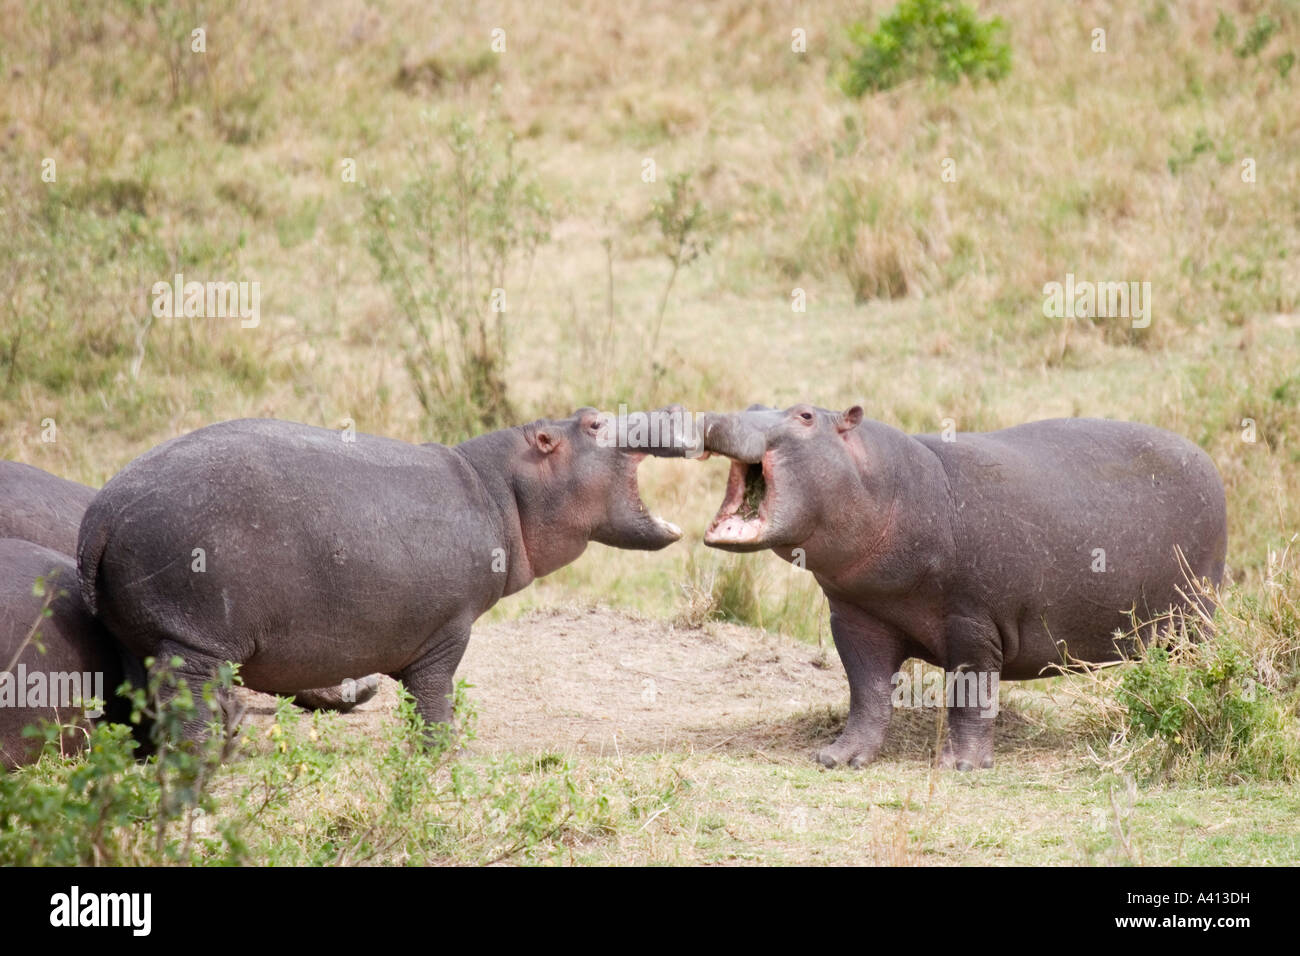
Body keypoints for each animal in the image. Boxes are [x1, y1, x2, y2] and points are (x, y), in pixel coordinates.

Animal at [77, 411, 688, 741]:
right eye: (593, 421)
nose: (675, 409)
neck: (502, 489)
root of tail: (102, 511)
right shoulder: (447, 631)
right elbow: (433, 696)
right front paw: (444, 754)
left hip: (141, 636)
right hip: (193, 642)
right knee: (188, 705)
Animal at [697, 404, 1227, 770]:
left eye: (805, 415)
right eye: (753, 404)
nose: (717, 418)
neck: (887, 484)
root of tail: (1207, 458)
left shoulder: (972, 621)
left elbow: (970, 695)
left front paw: (962, 765)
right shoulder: (855, 618)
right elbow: (866, 693)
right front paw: (837, 758)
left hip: (1195, 616)